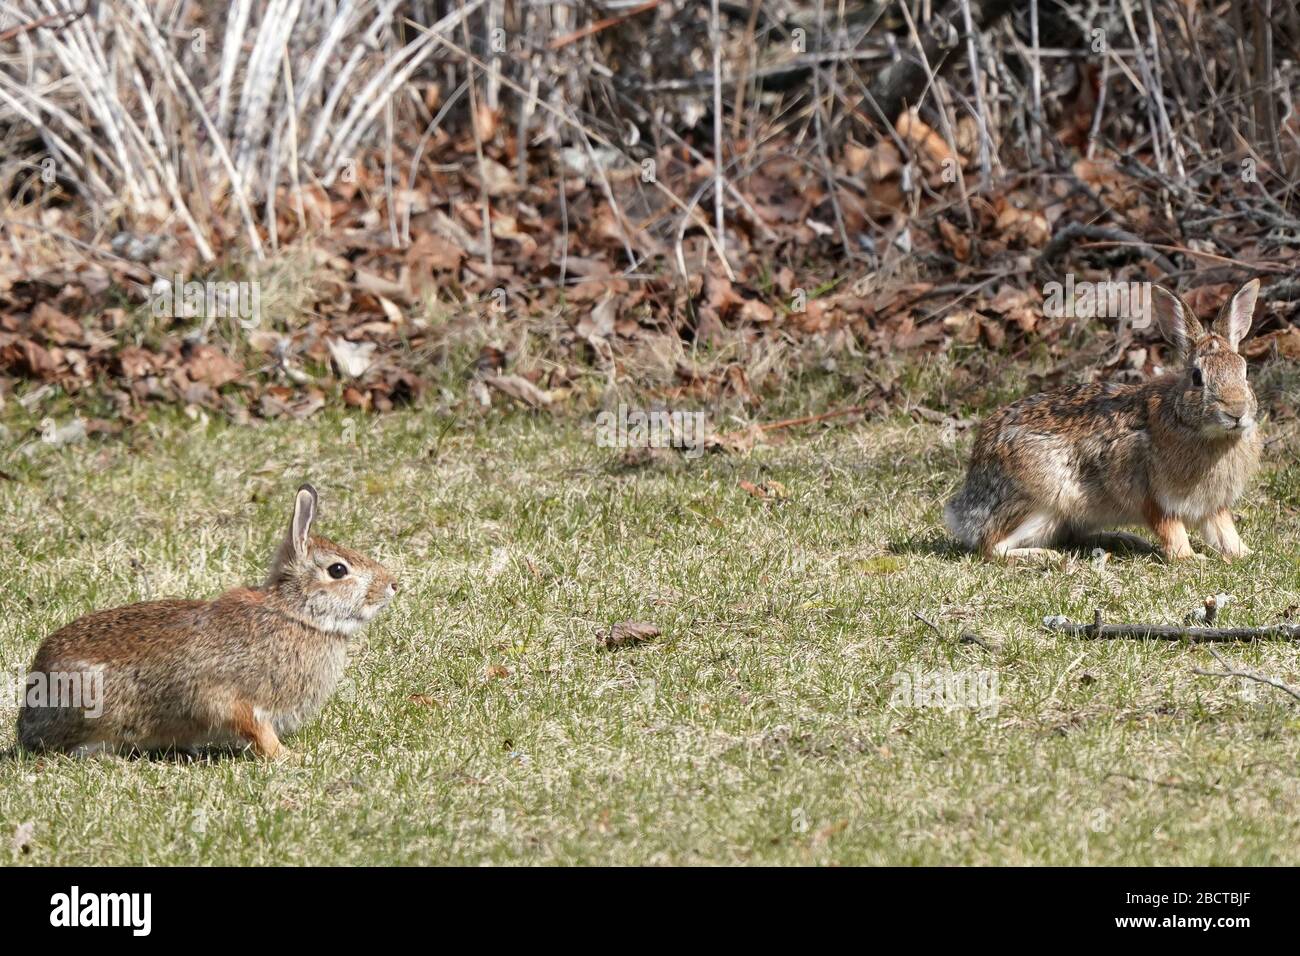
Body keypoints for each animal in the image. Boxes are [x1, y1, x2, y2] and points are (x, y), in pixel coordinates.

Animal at [17, 483, 398, 758]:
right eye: (338, 570)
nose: (392, 585)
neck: (295, 614)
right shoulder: (230, 696)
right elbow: (255, 729)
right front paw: (288, 757)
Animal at [945, 279, 1262, 562]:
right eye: (1197, 378)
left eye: (1244, 372)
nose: (1236, 411)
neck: (1187, 422)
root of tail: (963, 509)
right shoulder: (1152, 495)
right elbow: (1170, 528)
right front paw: (1189, 558)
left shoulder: (1213, 506)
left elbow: (1224, 530)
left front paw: (1244, 553)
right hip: (1041, 502)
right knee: (990, 546)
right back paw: (1044, 556)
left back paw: (1122, 539)